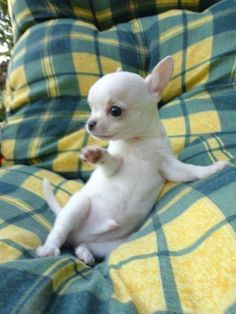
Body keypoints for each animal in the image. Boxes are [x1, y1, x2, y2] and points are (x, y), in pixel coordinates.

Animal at [36, 56, 229, 264]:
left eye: (115, 111)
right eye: (91, 109)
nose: (90, 123)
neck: (138, 143)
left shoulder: (170, 167)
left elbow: (192, 171)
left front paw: (214, 168)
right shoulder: (113, 169)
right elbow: (110, 162)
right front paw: (97, 155)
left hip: (110, 245)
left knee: (80, 244)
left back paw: (84, 254)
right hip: (78, 206)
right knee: (60, 232)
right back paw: (49, 249)